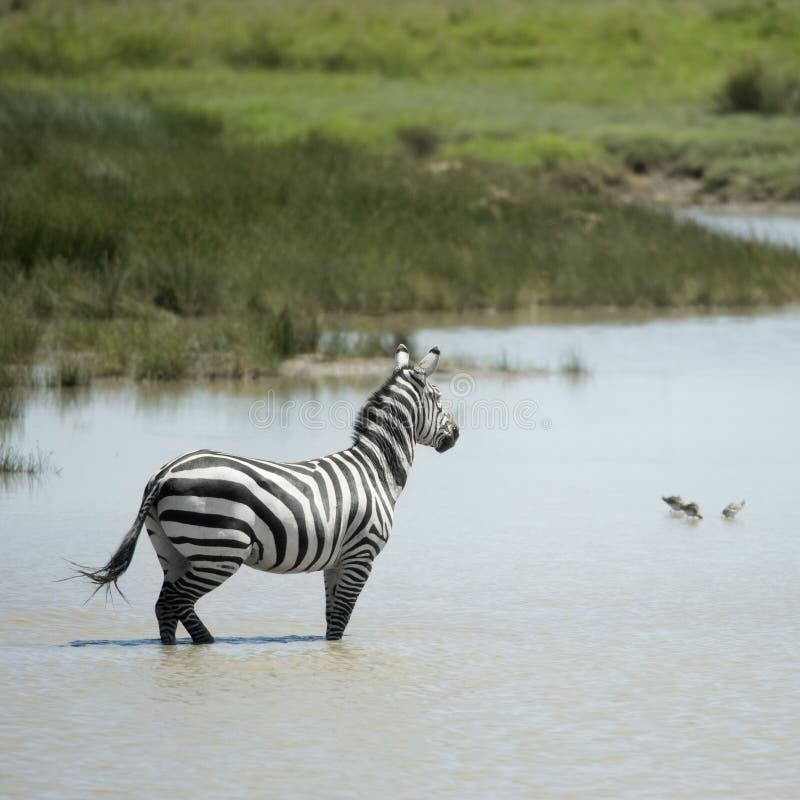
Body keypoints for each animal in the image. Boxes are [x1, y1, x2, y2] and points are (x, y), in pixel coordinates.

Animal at [76, 344, 459, 644]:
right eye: (439, 398)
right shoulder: (360, 555)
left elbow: (331, 620)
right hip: (218, 551)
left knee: (169, 607)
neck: (375, 470)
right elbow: (341, 618)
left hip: (172, 550)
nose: (456, 435)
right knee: (174, 603)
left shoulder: (338, 559)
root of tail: (163, 473)